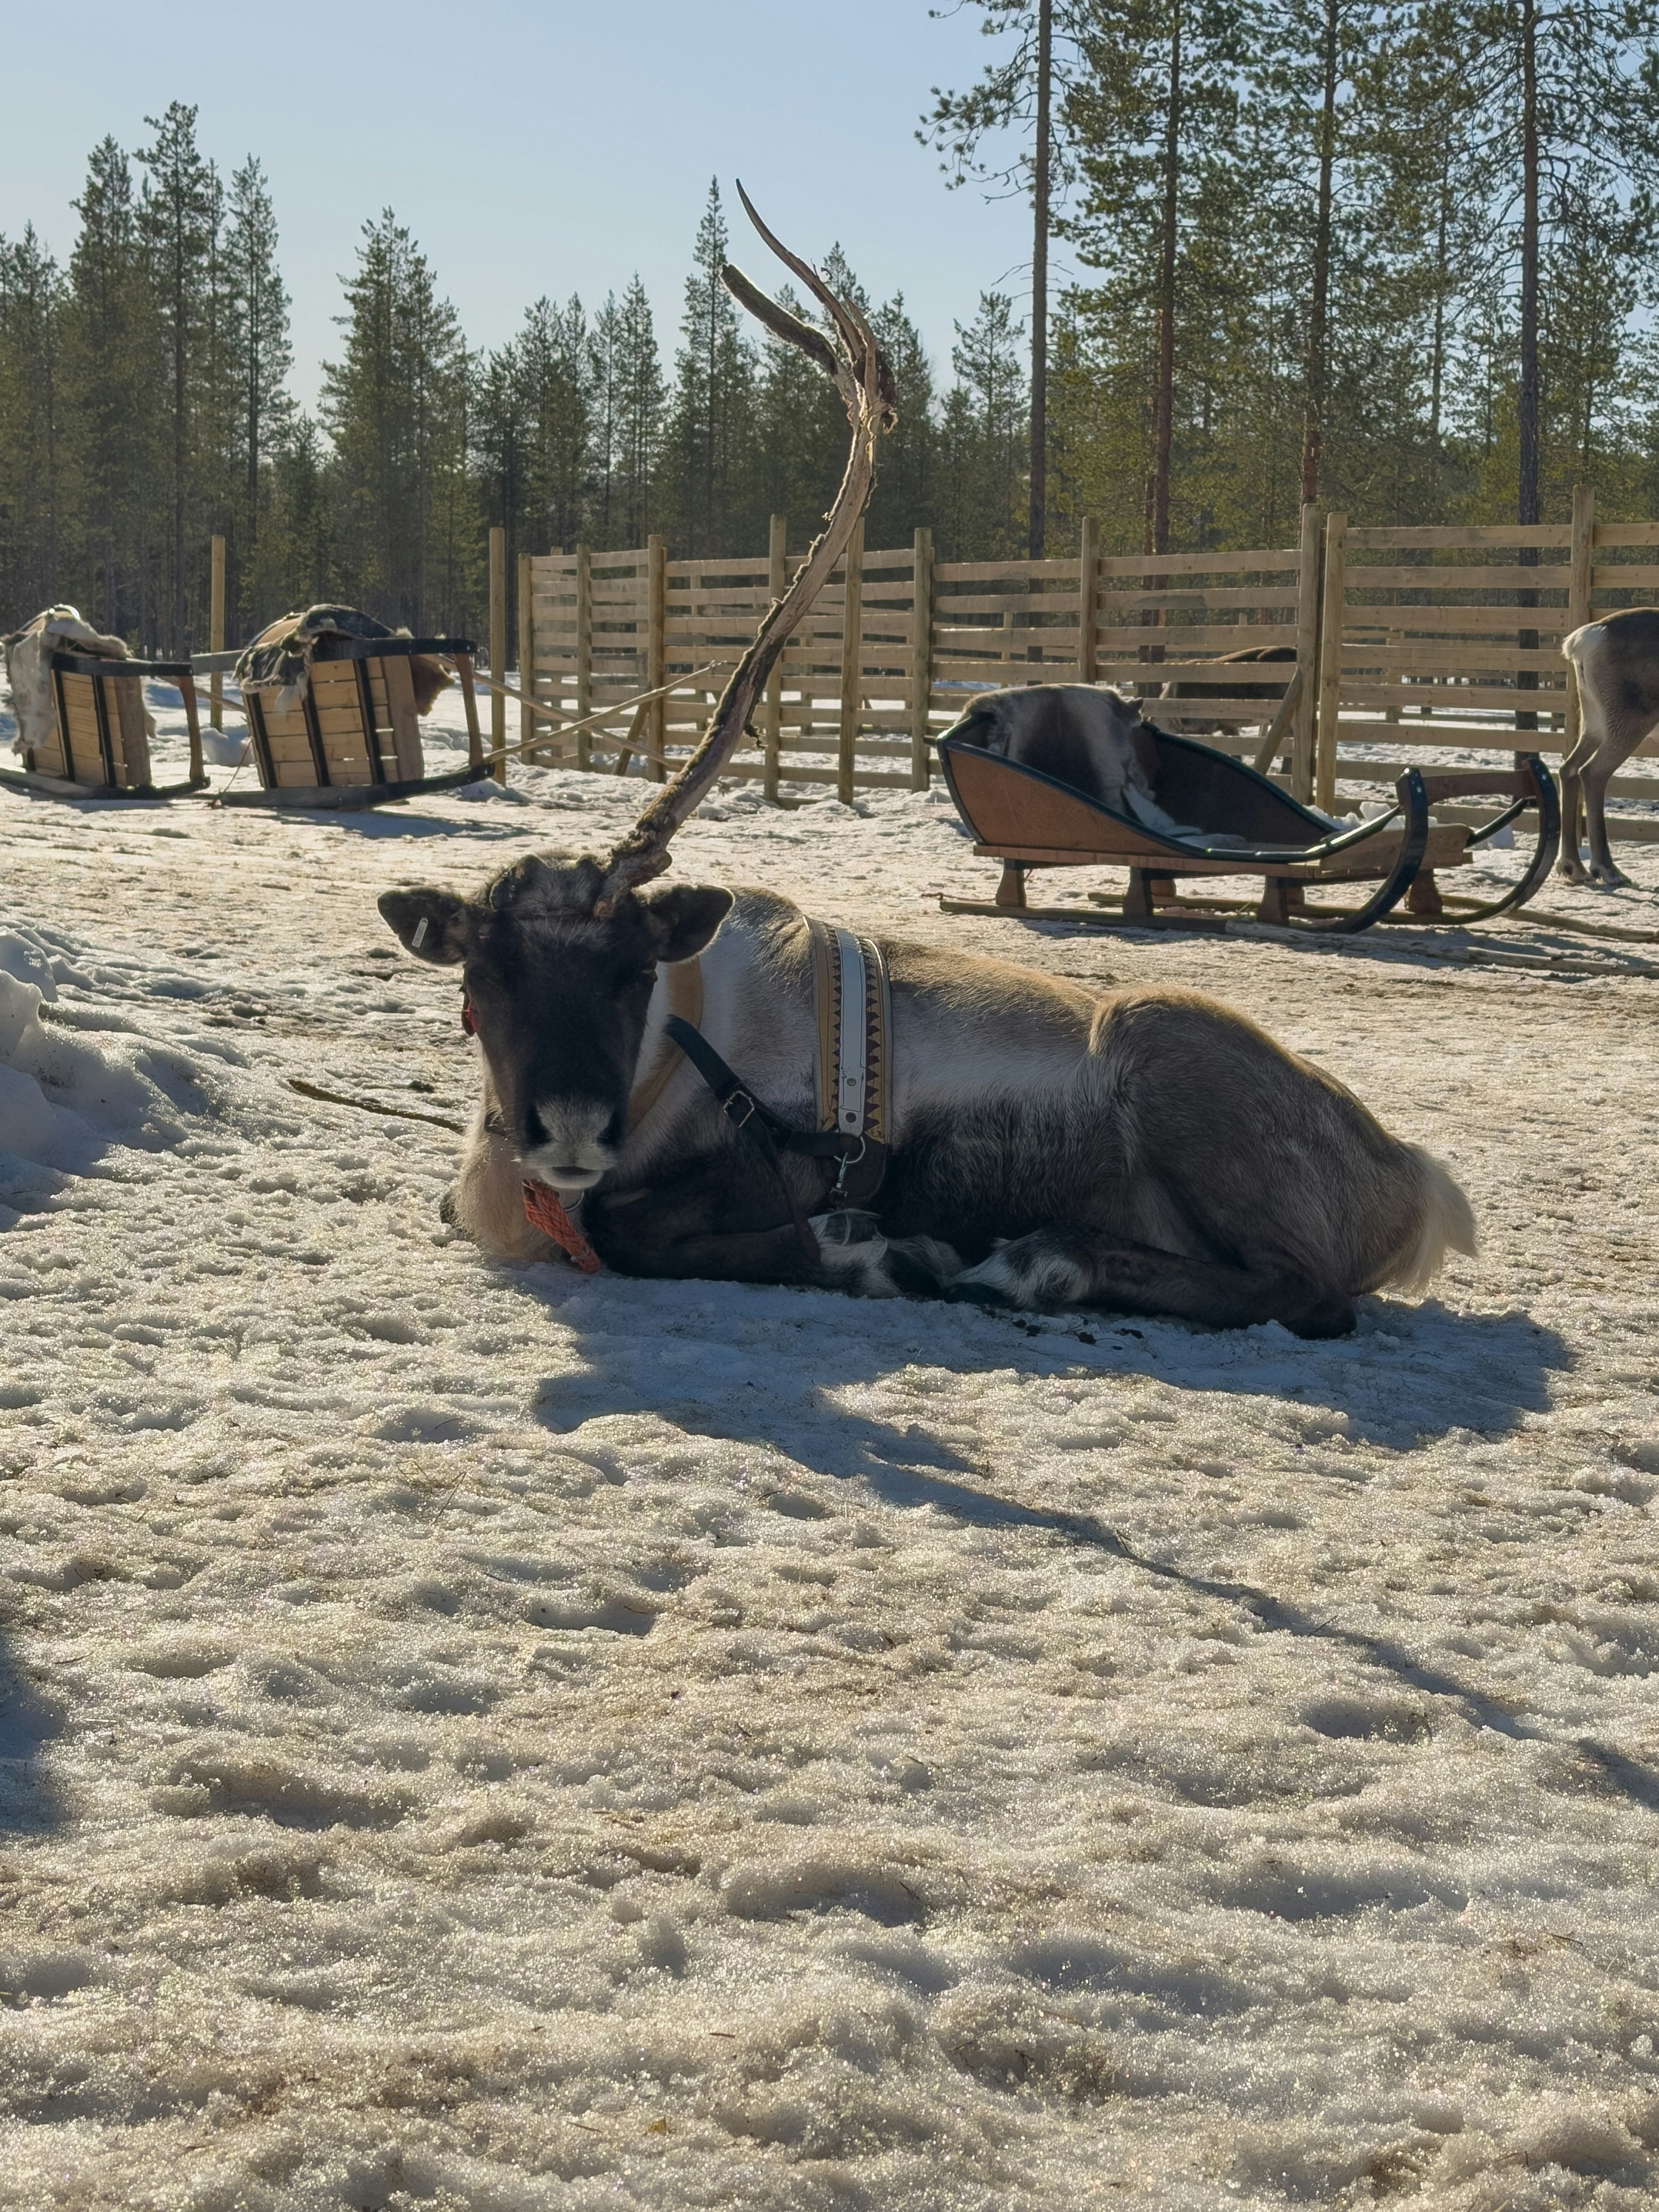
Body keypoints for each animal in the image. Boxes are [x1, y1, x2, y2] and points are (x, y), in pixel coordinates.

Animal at [378, 192, 1475, 1339]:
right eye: (481, 973)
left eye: (630, 968)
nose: (569, 1128)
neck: (664, 1052)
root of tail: (1415, 1182)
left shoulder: (788, 1163)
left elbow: (647, 1231)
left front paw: (875, 1250)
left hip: (1164, 1040)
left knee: (1307, 1294)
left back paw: (1033, 1260)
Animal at [1558, 609, 1659, 887]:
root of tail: (1585, 638)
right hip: (1628, 721)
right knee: (1592, 772)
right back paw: (1607, 869)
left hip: (1593, 721)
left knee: (1568, 769)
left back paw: (1574, 867)